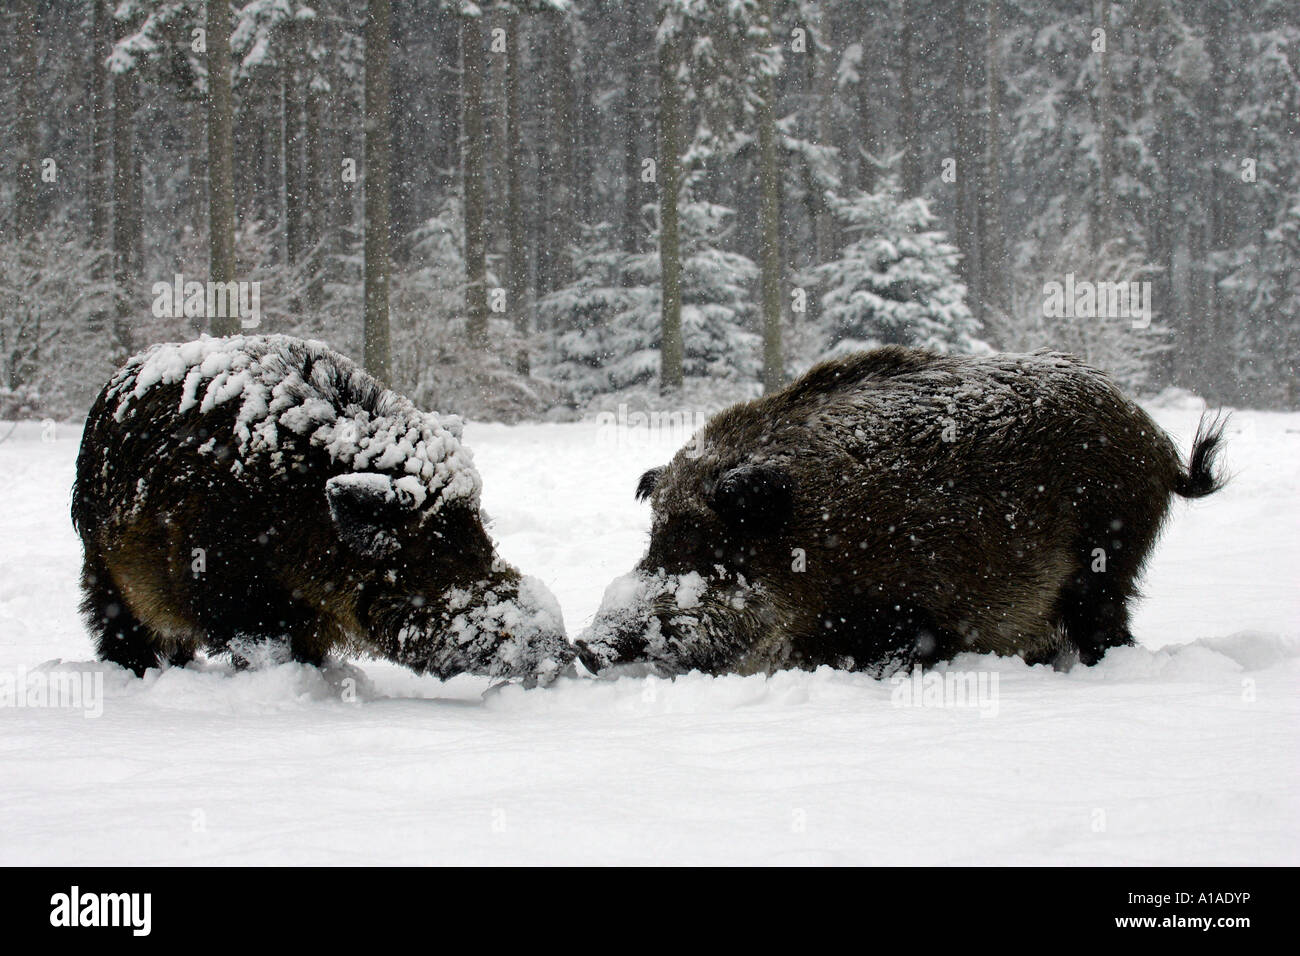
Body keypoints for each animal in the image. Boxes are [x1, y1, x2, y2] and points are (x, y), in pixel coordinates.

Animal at [71, 334, 574, 682]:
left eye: (481, 538)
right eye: (439, 554)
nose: (567, 653)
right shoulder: (228, 589)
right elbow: (266, 648)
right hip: (104, 571)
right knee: (118, 630)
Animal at [575, 347, 1225, 677]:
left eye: (712, 548)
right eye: (653, 541)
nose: (585, 645)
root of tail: (1157, 443)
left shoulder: (908, 609)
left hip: (1107, 558)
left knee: (1107, 627)